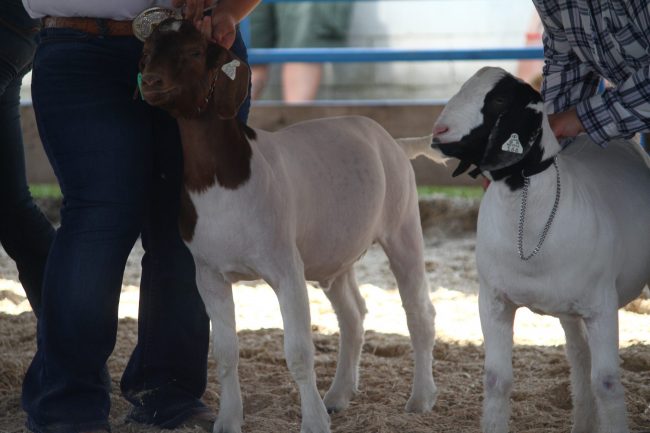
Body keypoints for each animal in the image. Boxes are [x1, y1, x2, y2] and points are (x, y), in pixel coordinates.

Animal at [138, 19, 444, 433]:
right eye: (147, 49)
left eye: (195, 51)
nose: (150, 81)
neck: (222, 176)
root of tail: (396, 143)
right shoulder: (209, 273)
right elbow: (225, 353)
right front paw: (228, 420)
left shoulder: (285, 267)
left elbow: (299, 351)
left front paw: (313, 422)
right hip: (336, 253)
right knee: (353, 315)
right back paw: (338, 395)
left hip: (403, 224)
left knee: (419, 313)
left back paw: (421, 398)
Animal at [428, 67, 650, 433]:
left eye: (500, 99)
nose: (438, 132)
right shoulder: (493, 301)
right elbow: (496, 380)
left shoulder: (601, 307)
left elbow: (606, 383)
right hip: (568, 309)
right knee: (578, 356)